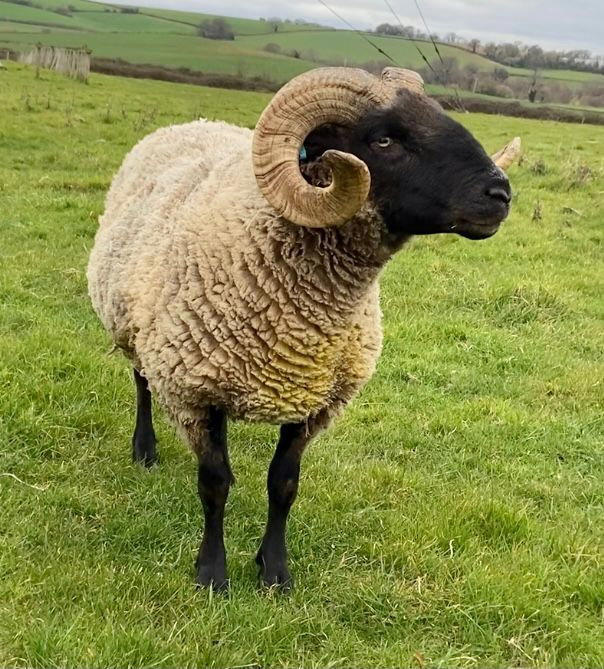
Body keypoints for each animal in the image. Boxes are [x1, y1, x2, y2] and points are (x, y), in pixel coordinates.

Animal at [87, 66, 520, 591]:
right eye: (384, 139)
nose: (500, 196)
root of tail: (191, 122)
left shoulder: (314, 398)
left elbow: (283, 484)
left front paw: (274, 570)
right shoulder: (197, 391)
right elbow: (213, 484)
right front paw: (212, 572)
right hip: (138, 332)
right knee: (142, 383)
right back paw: (144, 448)